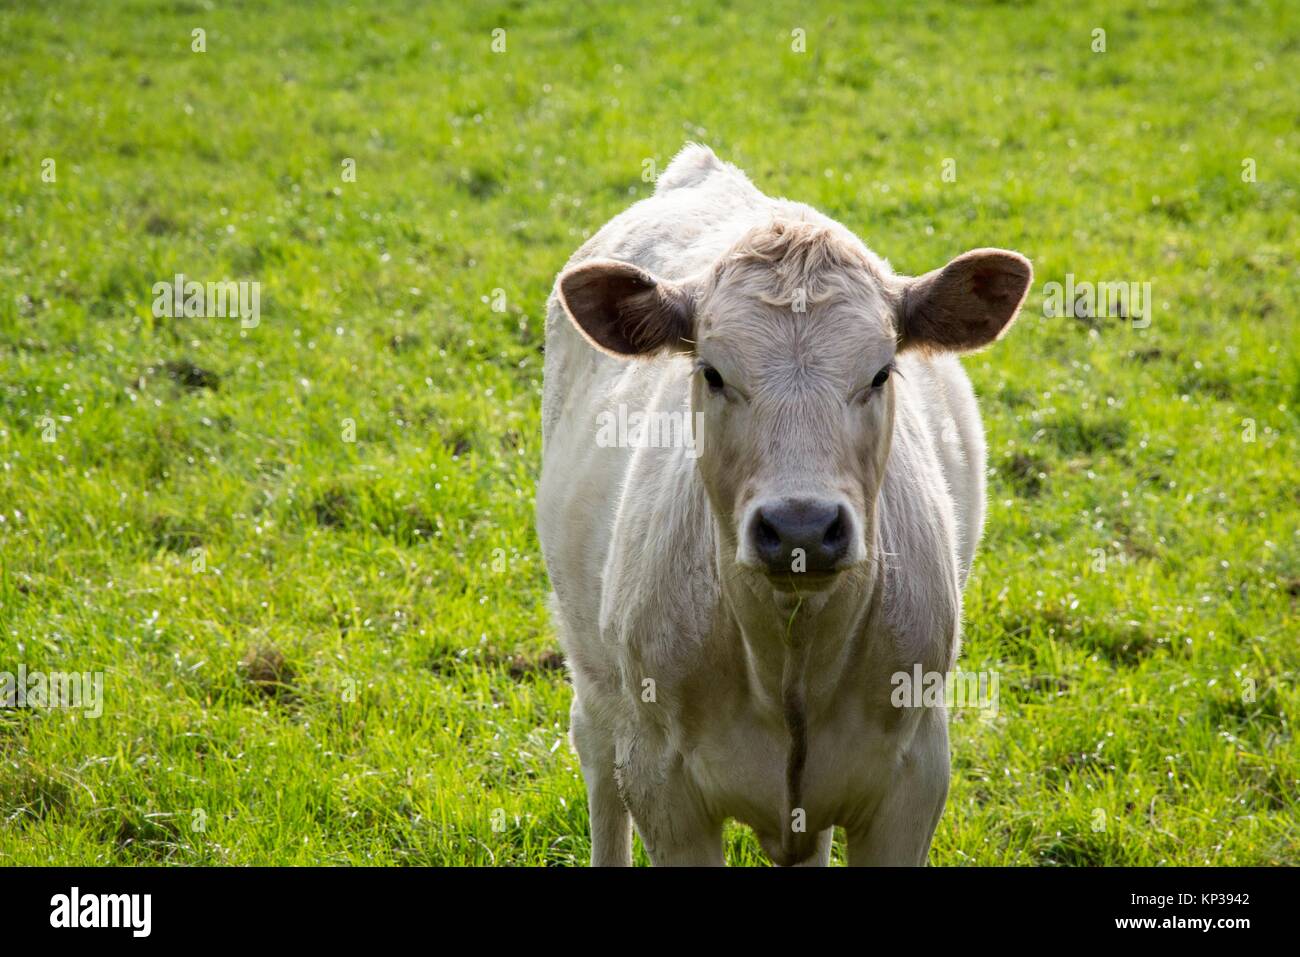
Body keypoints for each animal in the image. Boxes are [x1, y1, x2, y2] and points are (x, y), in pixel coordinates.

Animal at [536, 144, 1031, 866]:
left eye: (880, 372)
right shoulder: (662, 782)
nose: (802, 528)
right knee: (597, 766)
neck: (791, 663)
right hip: (595, 678)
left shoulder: (913, 778)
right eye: (712, 373)